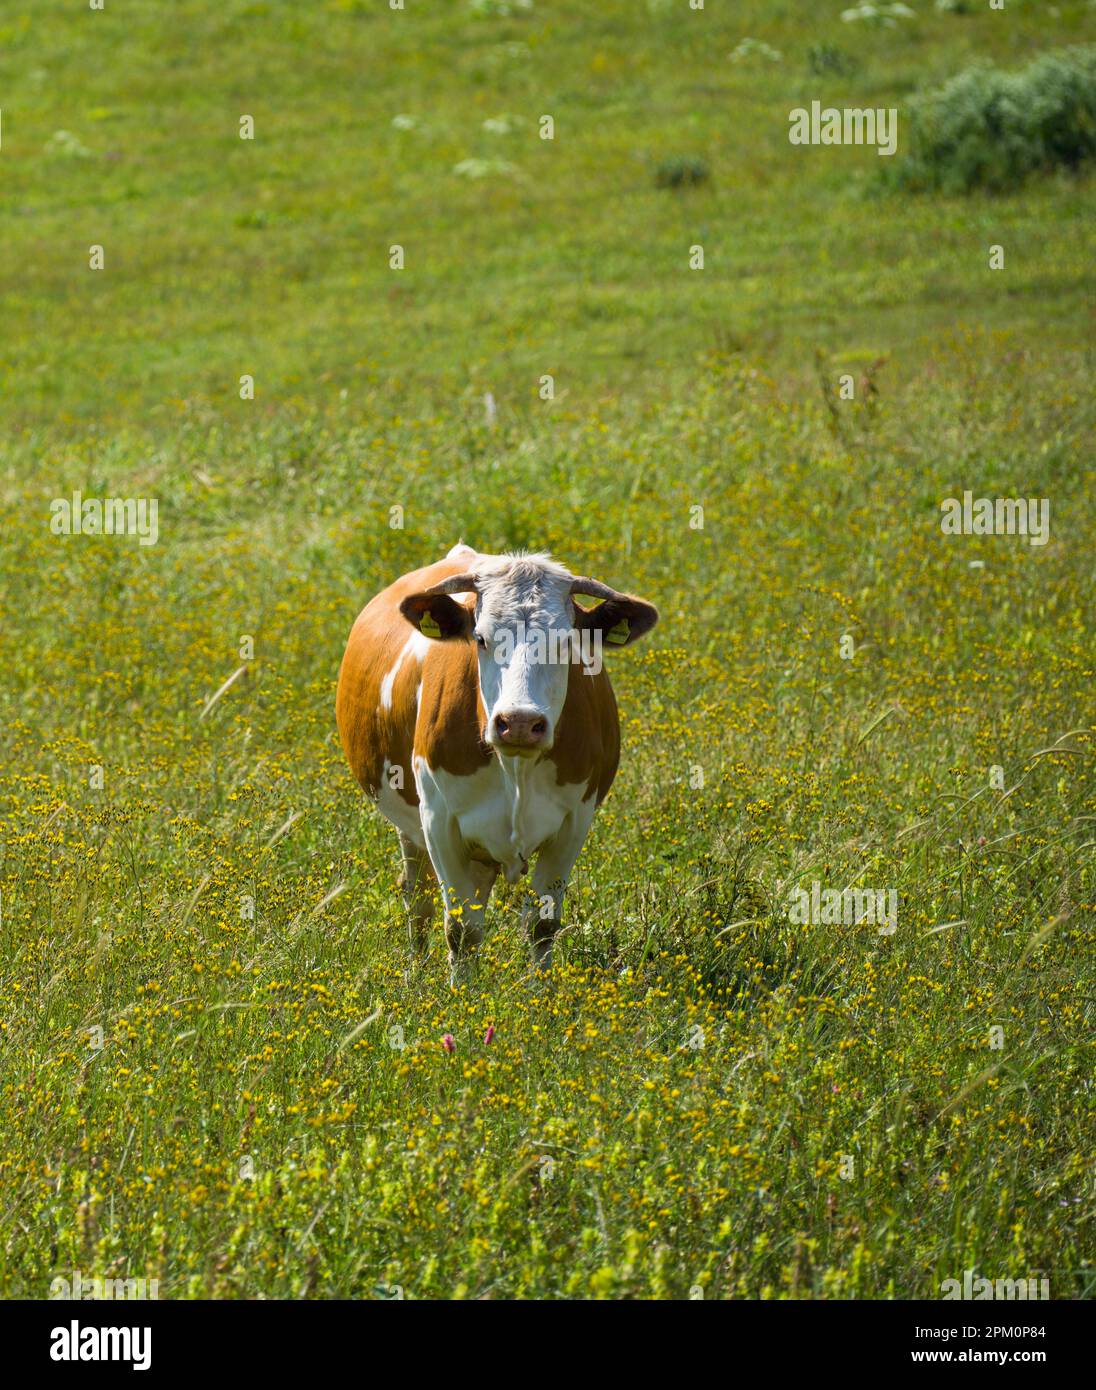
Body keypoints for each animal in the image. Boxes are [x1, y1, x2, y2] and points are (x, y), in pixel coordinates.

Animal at [335, 544, 658, 980]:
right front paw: (460, 992)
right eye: (481, 638)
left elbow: (542, 924)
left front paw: (542, 994)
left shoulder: (575, 821)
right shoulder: (438, 823)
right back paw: (416, 975)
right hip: (410, 826)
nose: (519, 722)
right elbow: (461, 930)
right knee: (417, 897)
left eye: (566, 643)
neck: (516, 769)